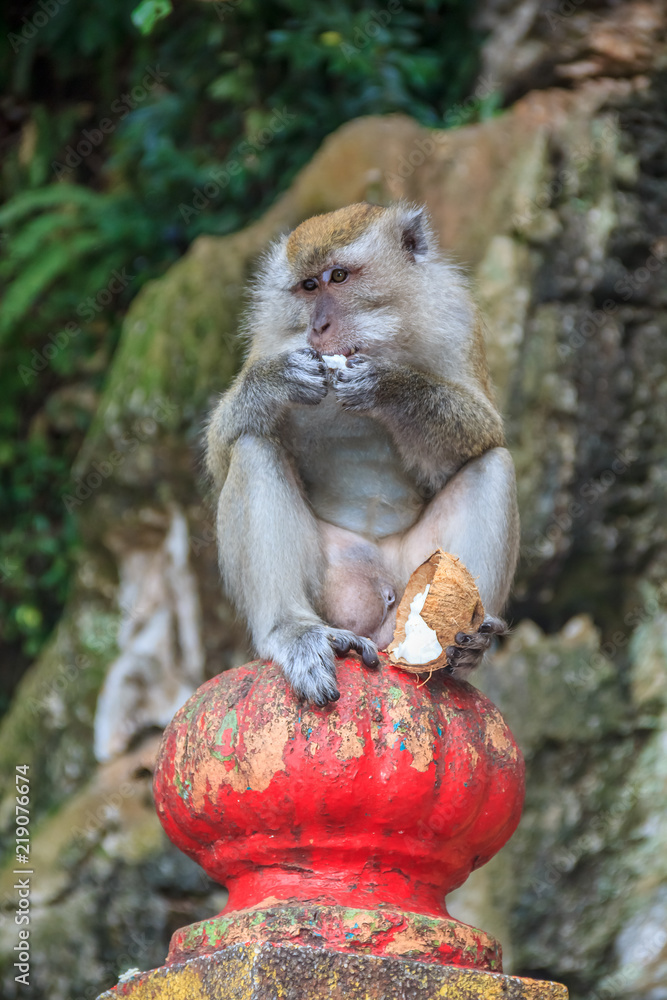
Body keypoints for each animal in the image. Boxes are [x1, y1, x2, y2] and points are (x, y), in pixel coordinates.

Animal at [206, 202, 519, 706]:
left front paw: (387, 385)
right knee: (253, 449)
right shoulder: (273, 336)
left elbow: (484, 434)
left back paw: (462, 652)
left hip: (413, 576)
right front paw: (276, 381)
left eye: (338, 276)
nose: (318, 326)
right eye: (308, 286)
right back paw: (293, 631)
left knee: (494, 465)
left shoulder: (455, 316)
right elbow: (220, 450)